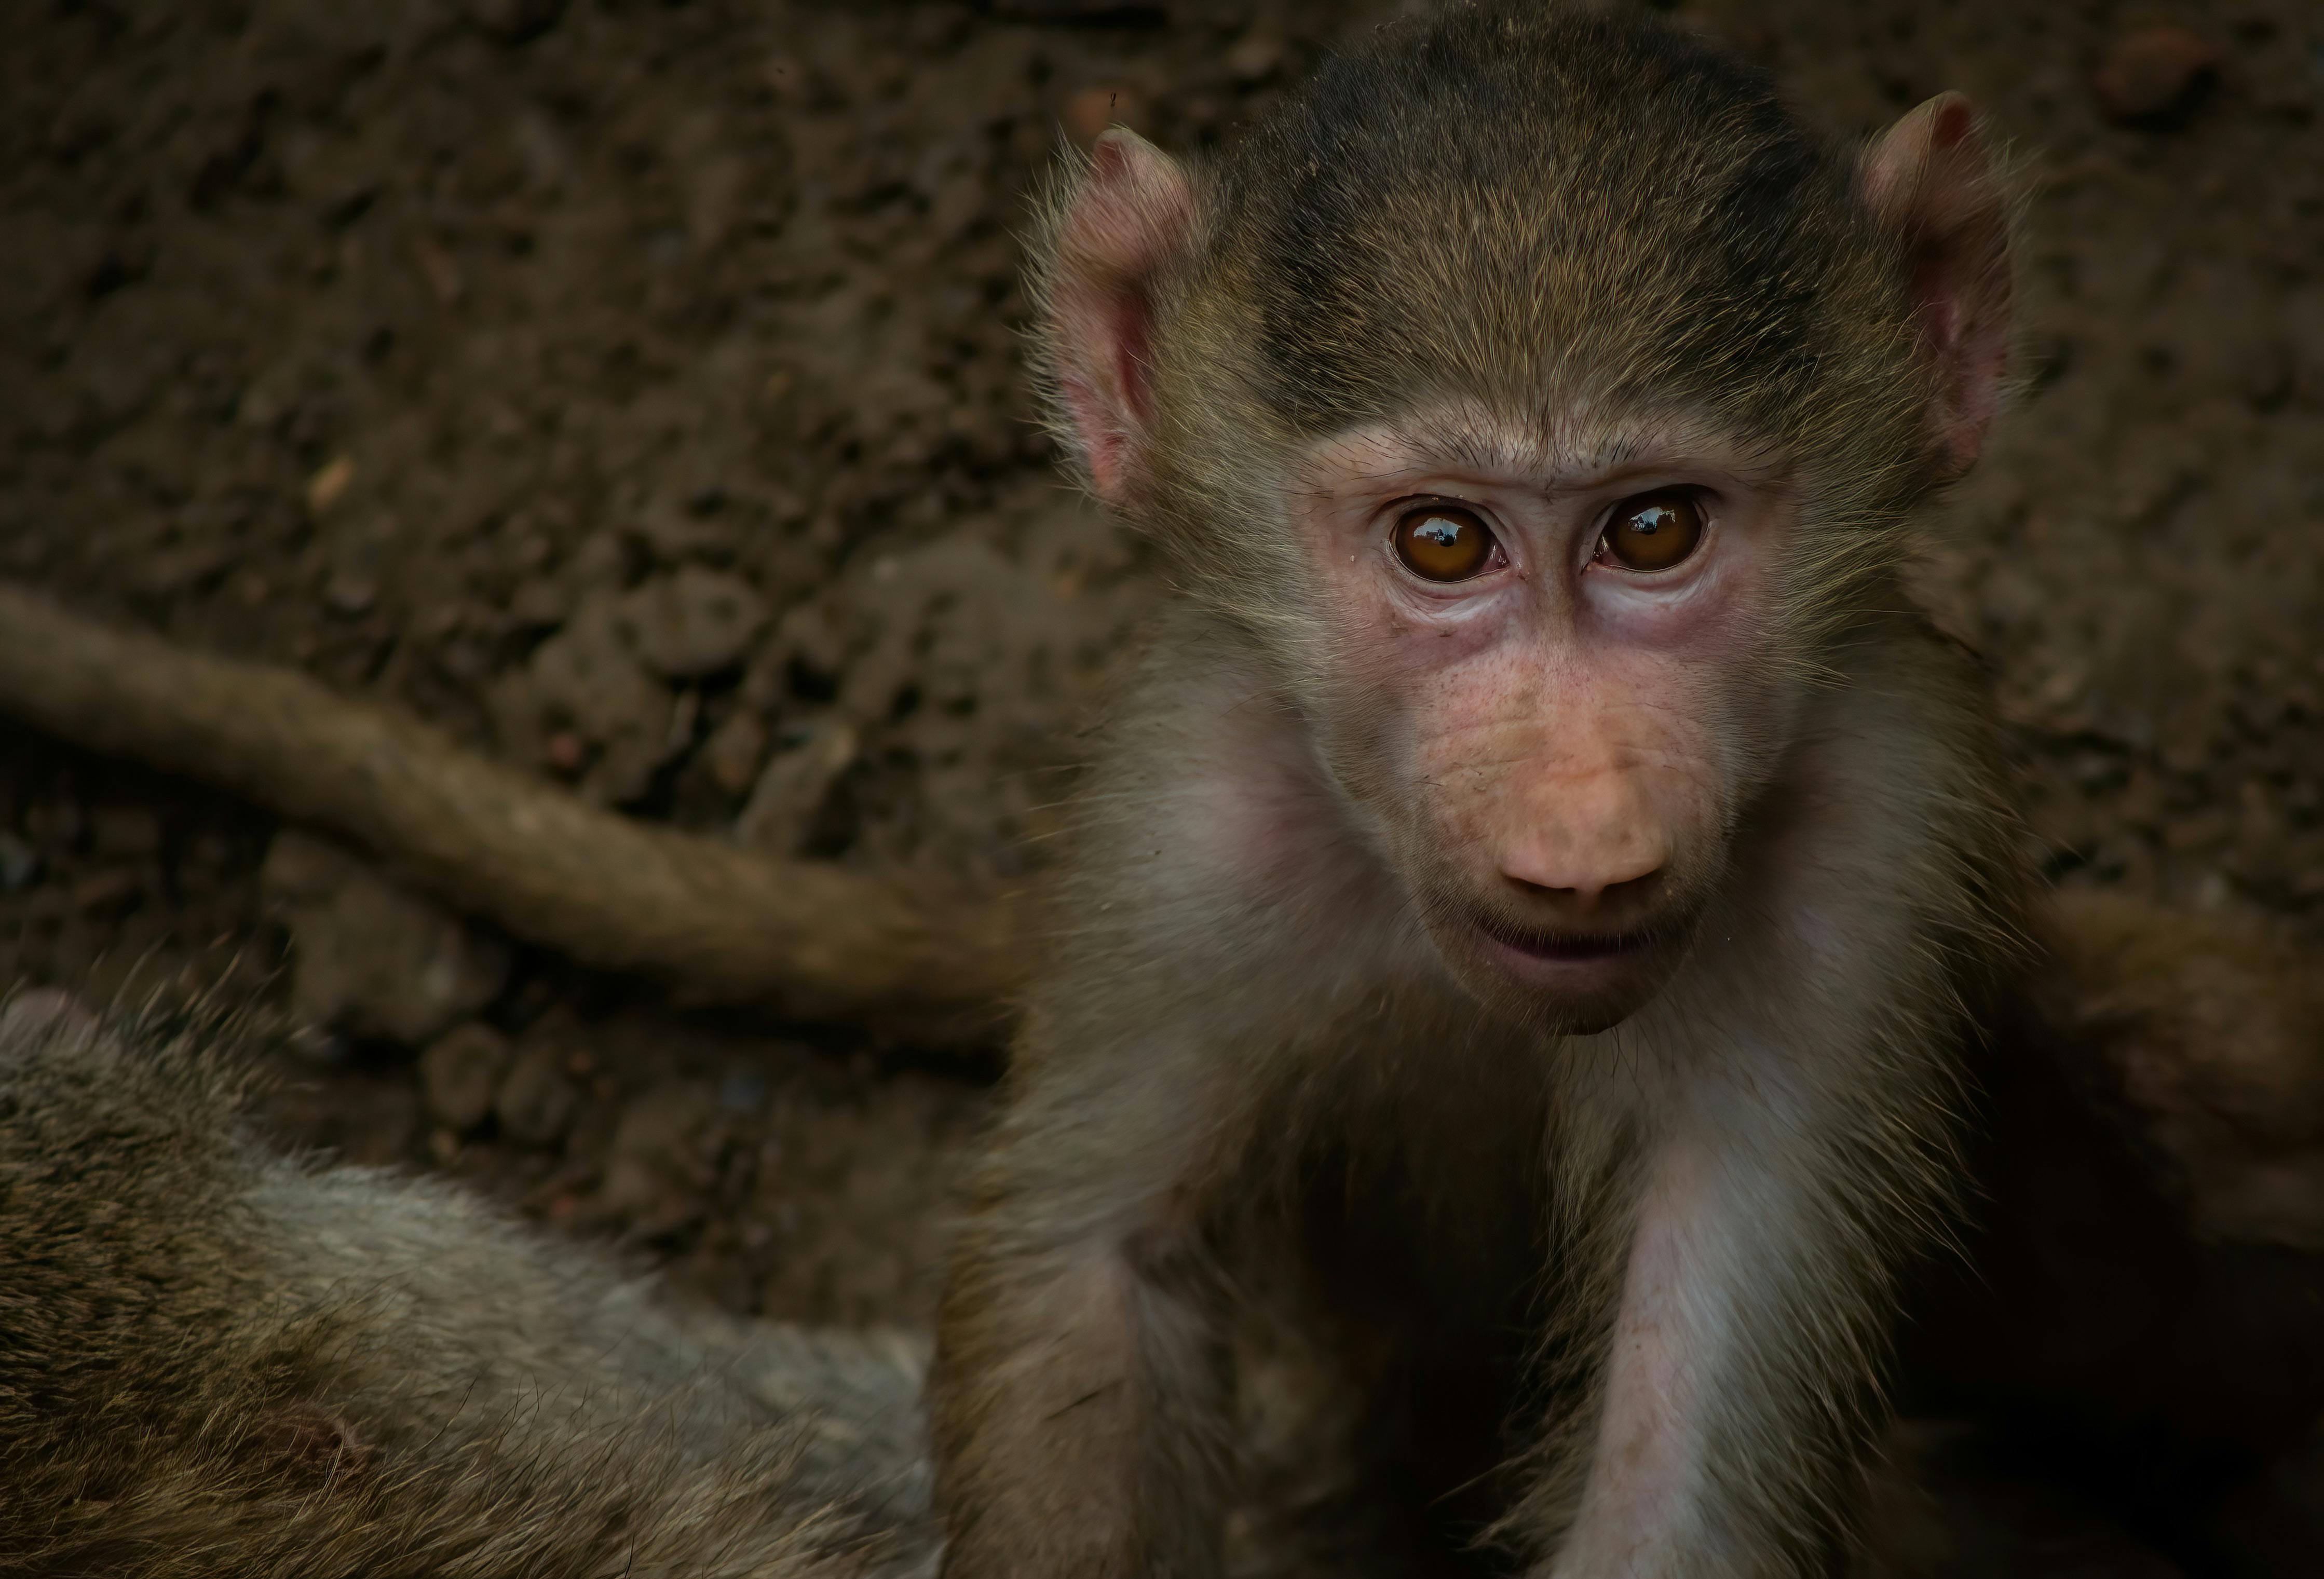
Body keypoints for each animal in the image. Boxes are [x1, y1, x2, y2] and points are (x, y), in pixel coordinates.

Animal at [929, 6, 2031, 1576]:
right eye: (1442, 543)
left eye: (1654, 529)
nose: (1579, 835)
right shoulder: (1195, 807)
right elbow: (1099, 1265)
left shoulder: (1882, 827)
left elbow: (1670, 1492)